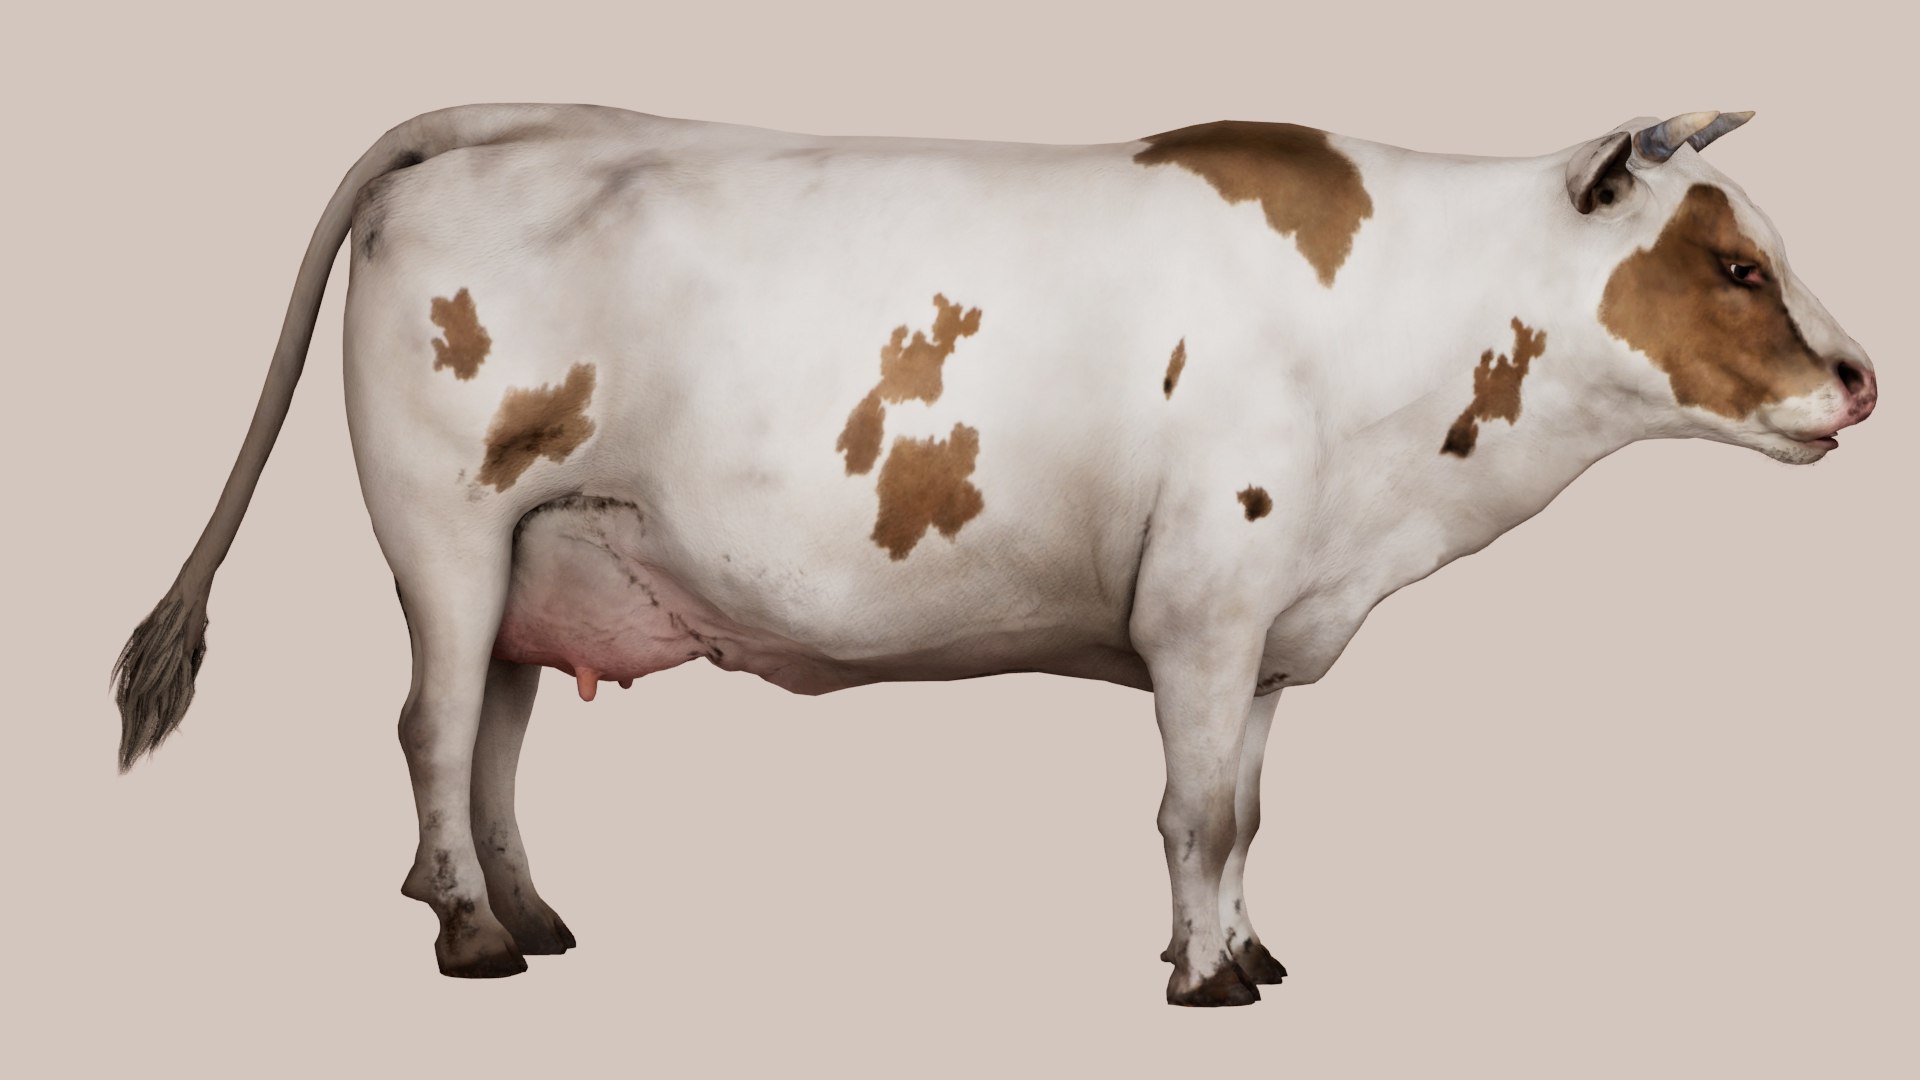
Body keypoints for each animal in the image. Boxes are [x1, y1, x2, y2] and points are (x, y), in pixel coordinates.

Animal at [112, 105, 1878, 1006]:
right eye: (1733, 262)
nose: (1865, 376)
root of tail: (485, 137)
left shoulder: (1273, 620)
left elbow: (1247, 808)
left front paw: (1243, 946)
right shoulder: (1208, 597)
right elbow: (1197, 806)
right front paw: (1203, 980)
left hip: (539, 560)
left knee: (489, 731)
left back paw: (528, 910)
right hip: (446, 537)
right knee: (425, 726)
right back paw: (472, 937)